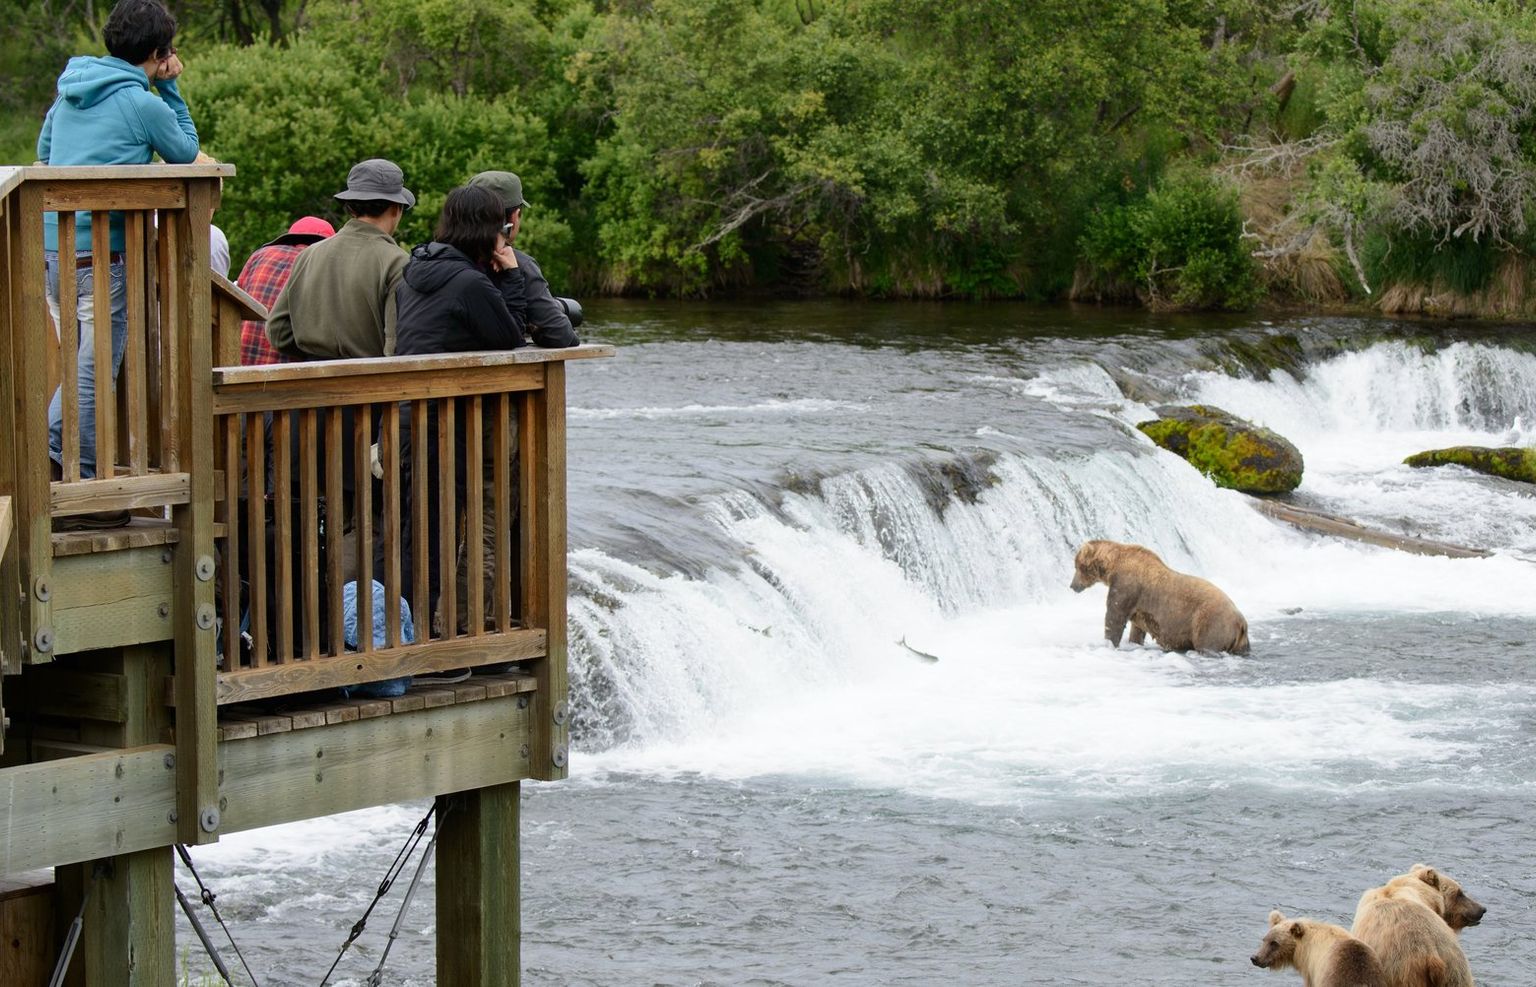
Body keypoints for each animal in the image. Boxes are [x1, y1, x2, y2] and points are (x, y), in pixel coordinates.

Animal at [1068, 540, 1249, 654]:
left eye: (1076, 566)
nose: (1072, 585)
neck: (1113, 567)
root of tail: (1241, 622)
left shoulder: (1126, 586)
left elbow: (1115, 617)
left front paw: (1109, 643)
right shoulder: (1139, 607)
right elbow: (1137, 629)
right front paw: (1133, 641)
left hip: (1210, 623)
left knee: (1207, 644)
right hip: (1240, 641)